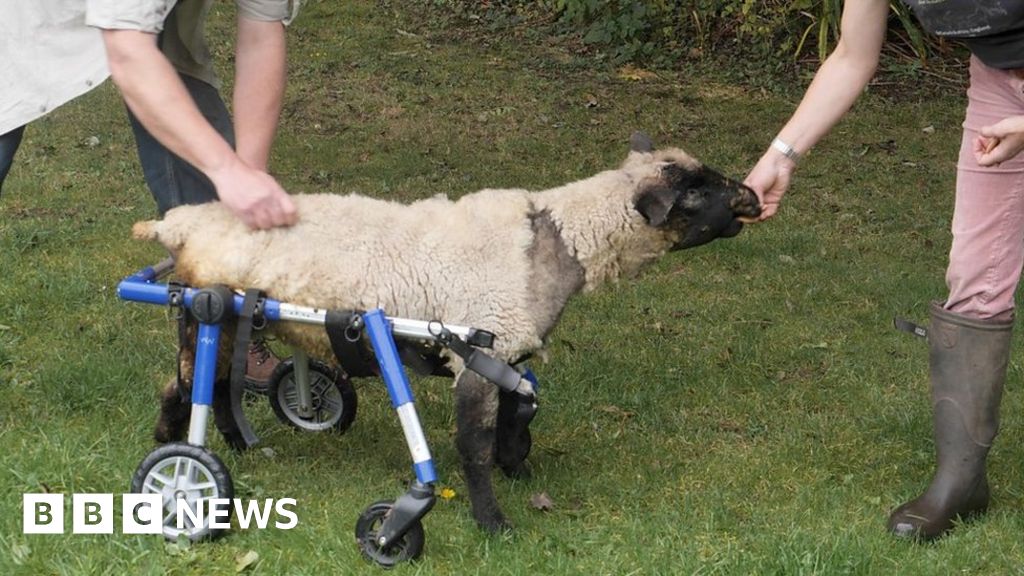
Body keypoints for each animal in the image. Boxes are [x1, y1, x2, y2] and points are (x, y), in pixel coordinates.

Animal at [132, 134, 762, 532]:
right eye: (698, 189)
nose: (754, 196)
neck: (557, 239)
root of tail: (182, 224)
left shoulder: (507, 354)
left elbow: (515, 417)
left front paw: (519, 469)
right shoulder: (476, 355)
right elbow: (473, 445)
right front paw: (493, 522)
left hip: (236, 321)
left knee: (210, 387)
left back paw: (238, 446)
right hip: (206, 311)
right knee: (185, 387)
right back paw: (175, 458)